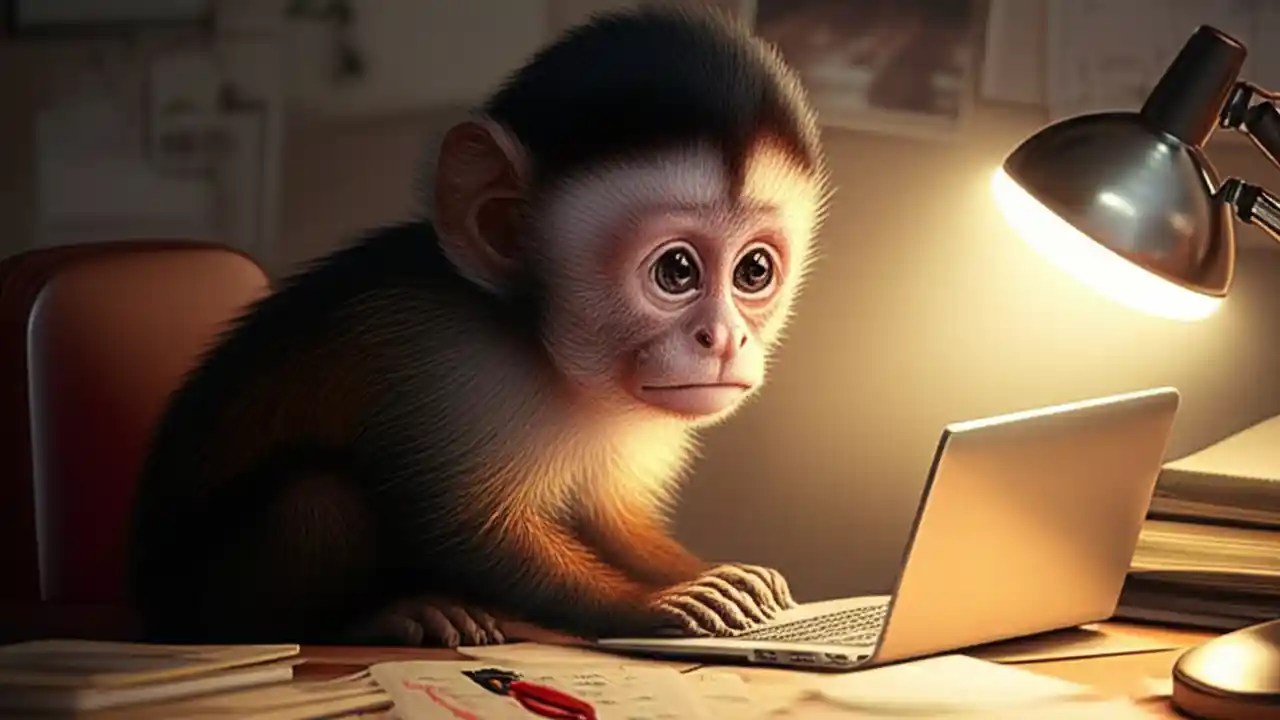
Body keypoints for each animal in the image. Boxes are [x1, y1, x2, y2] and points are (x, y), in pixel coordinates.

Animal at [127, 4, 831, 649]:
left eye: (753, 270)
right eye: (678, 270)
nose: (725, 338)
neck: (544, 352)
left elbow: (608, 514)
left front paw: (714, 575)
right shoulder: (450, 357)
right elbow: (463, 525)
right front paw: (652, 603)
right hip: (200, 602)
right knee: (317, 497)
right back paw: (374, 619)